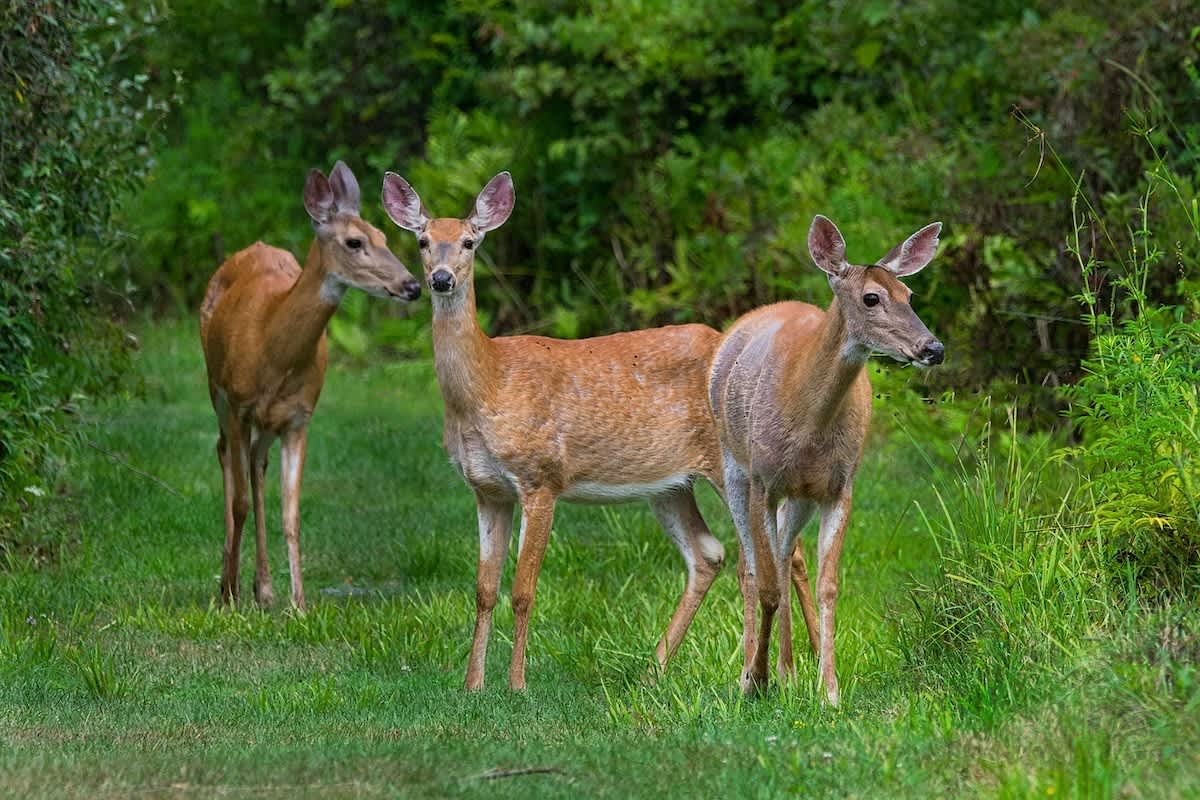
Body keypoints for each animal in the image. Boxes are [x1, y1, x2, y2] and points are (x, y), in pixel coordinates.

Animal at [199, 161, 421, 611]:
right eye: (355, 241)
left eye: (385, 236)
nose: (413, 286)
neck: (271, 347)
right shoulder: (238, 402)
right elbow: (239, 501)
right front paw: (229, 593)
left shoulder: (300, 417)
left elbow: (292, 512)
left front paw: (299, 604)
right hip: (216, 389)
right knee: (226, 455)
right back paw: (231, 585)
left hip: (269, 420)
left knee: (256, 461)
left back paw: (263, 588)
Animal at [380, 170, 729, 691]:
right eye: (422, 240)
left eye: (469, 242)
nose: (441, 278)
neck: (488, 384)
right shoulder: (487, 490)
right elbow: (484, 589)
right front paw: (472, 684)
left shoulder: (540, 477)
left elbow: (523, 590)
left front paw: (517, 684)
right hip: (670, 484)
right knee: (709, 554)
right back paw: (654, 671)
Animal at [708, 214, 944, 705]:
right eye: (871, 297)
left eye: (909, 294)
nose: (933, 349)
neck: (808, 423)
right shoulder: (763, 480)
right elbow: (765, 586)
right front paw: (755, 679)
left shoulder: (840, 486)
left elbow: (828, 586)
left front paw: (829, 689)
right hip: (732, 465)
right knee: (749, 567)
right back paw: (752, 671)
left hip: (800, 494)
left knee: (785, 556)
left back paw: (790, 669)